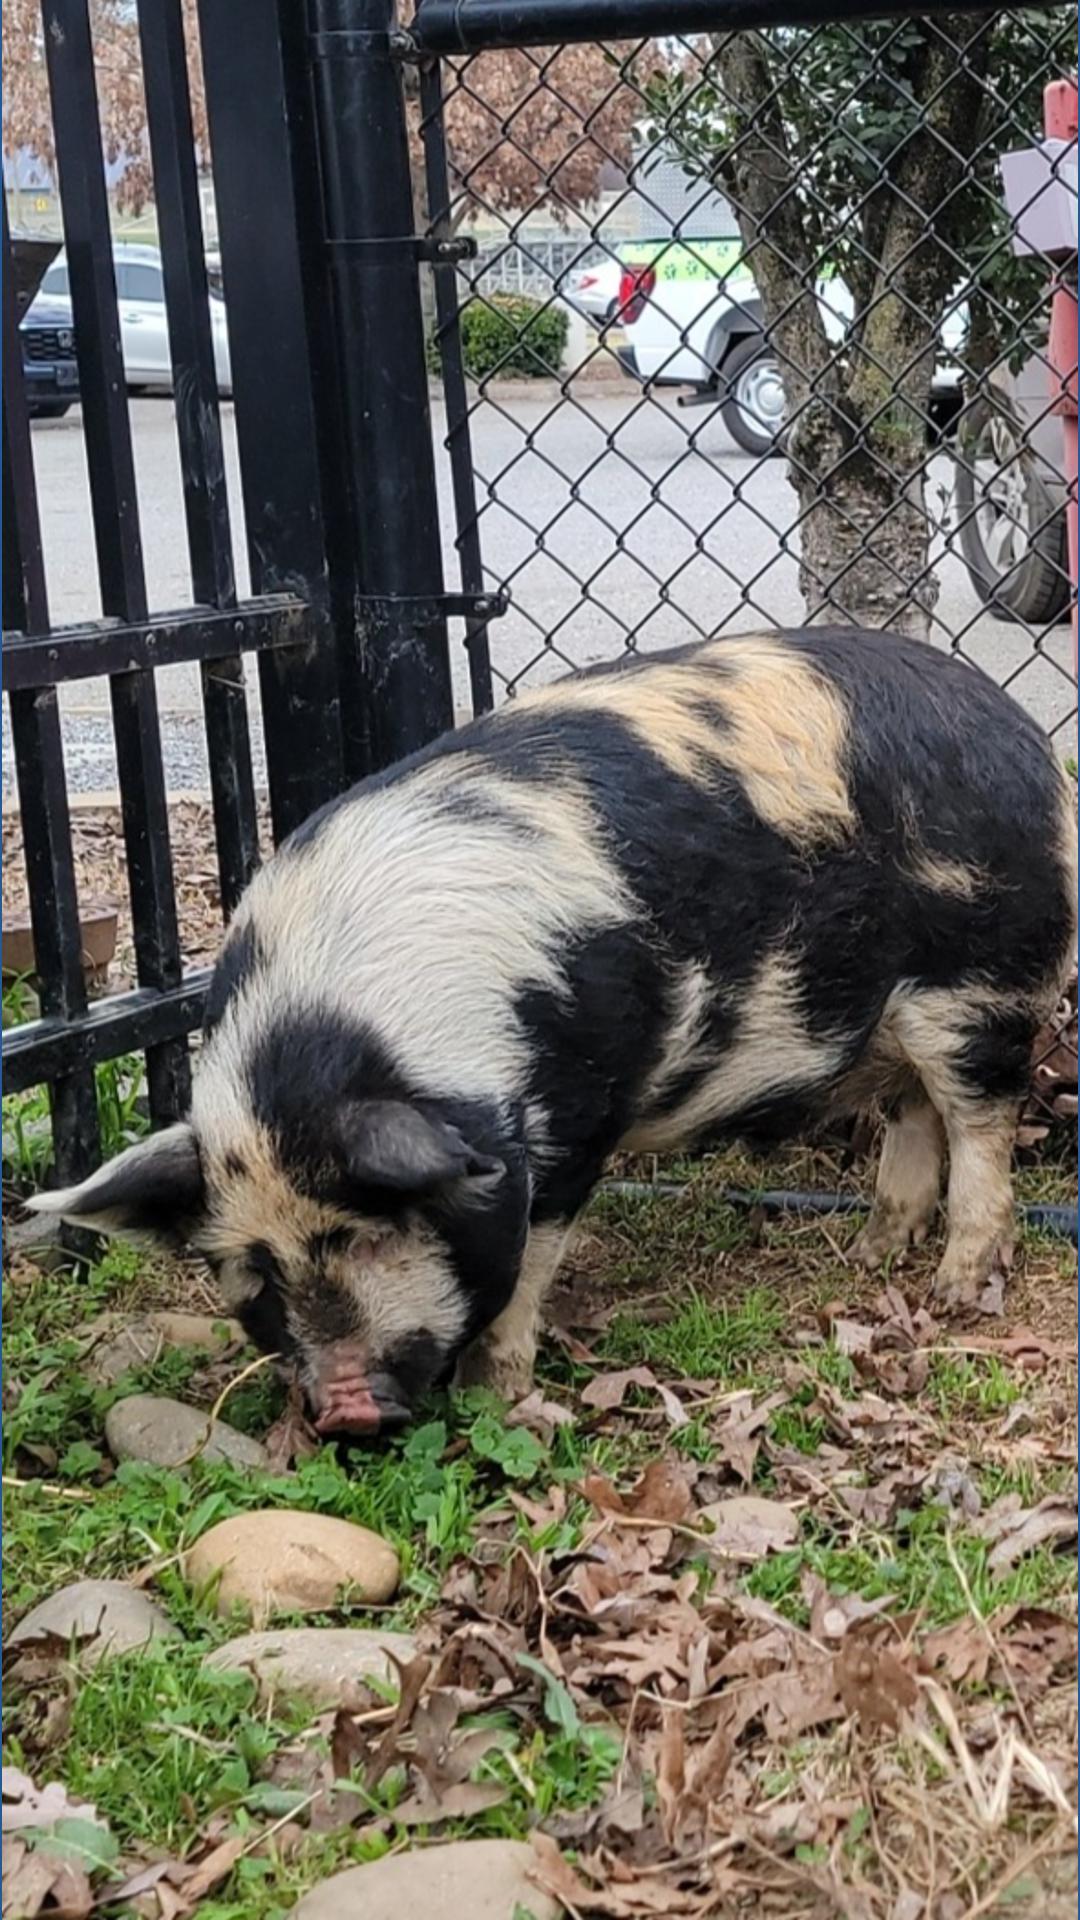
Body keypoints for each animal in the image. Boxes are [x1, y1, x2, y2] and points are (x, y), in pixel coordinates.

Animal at [32, 629, 1077, 1435]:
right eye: (253, 1269)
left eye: (376, 1231)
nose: (347, 1409)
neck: (338, 1034)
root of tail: (1020, 731)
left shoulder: (576, 1105)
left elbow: (533, 1248)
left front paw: (498, 1395)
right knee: (916, 1115)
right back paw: (873, 1252)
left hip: (981, 977)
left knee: (980, 1123)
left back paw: (952, 1289)